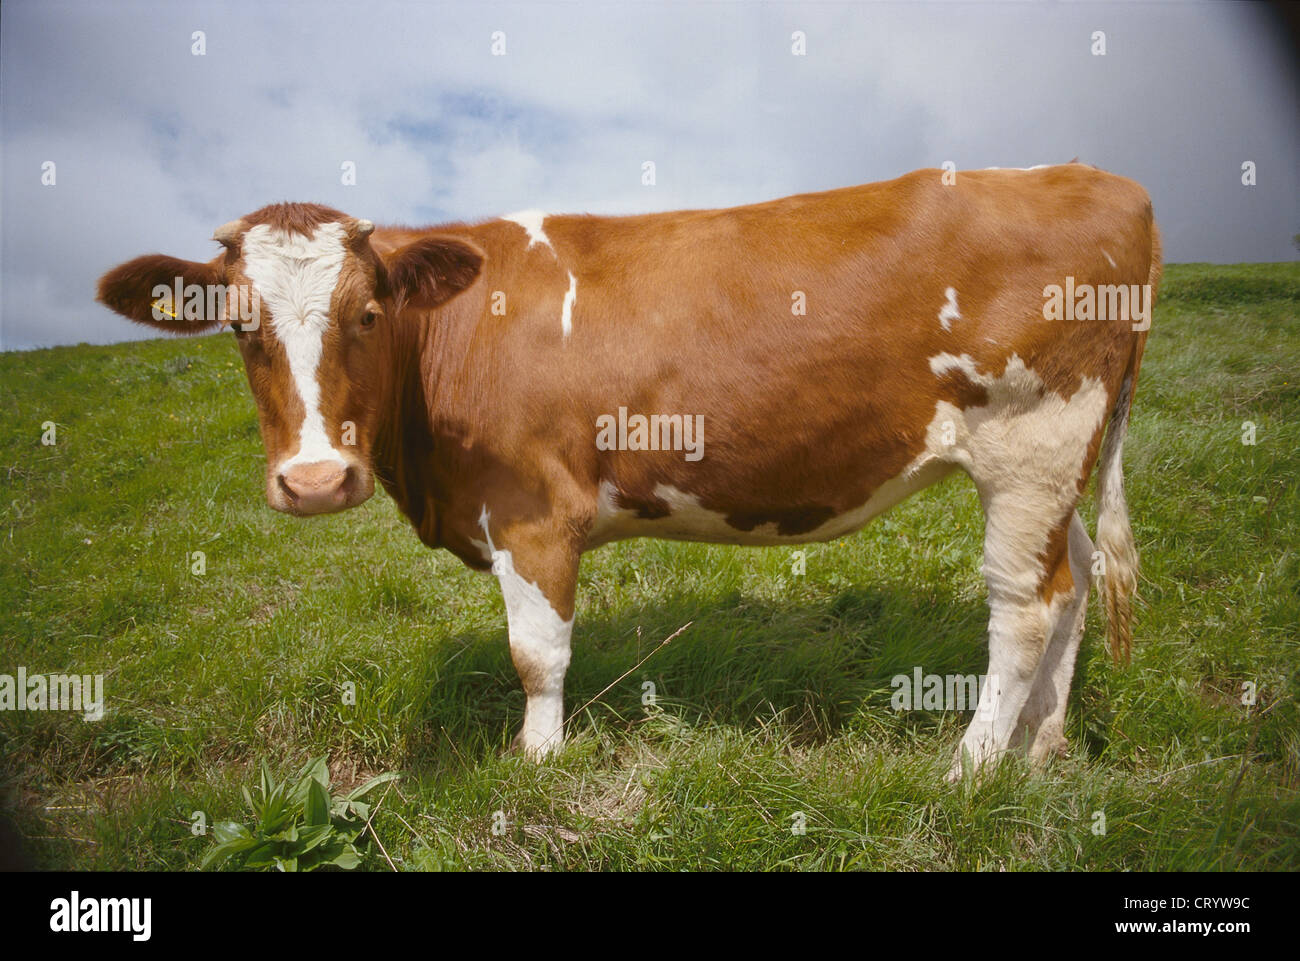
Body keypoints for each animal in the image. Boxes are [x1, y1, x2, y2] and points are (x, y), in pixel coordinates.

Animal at [96, 164, 1161, 779]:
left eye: (367, 312)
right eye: (240, 326)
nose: (316, 481)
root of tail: (1100, 176)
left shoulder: (532, 512)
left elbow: (536, 653)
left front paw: (535, 762)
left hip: (1030, 441)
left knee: (1025, 604)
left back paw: (971, 767)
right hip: (1063, 459)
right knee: (1074, 584)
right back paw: (1041, 747)